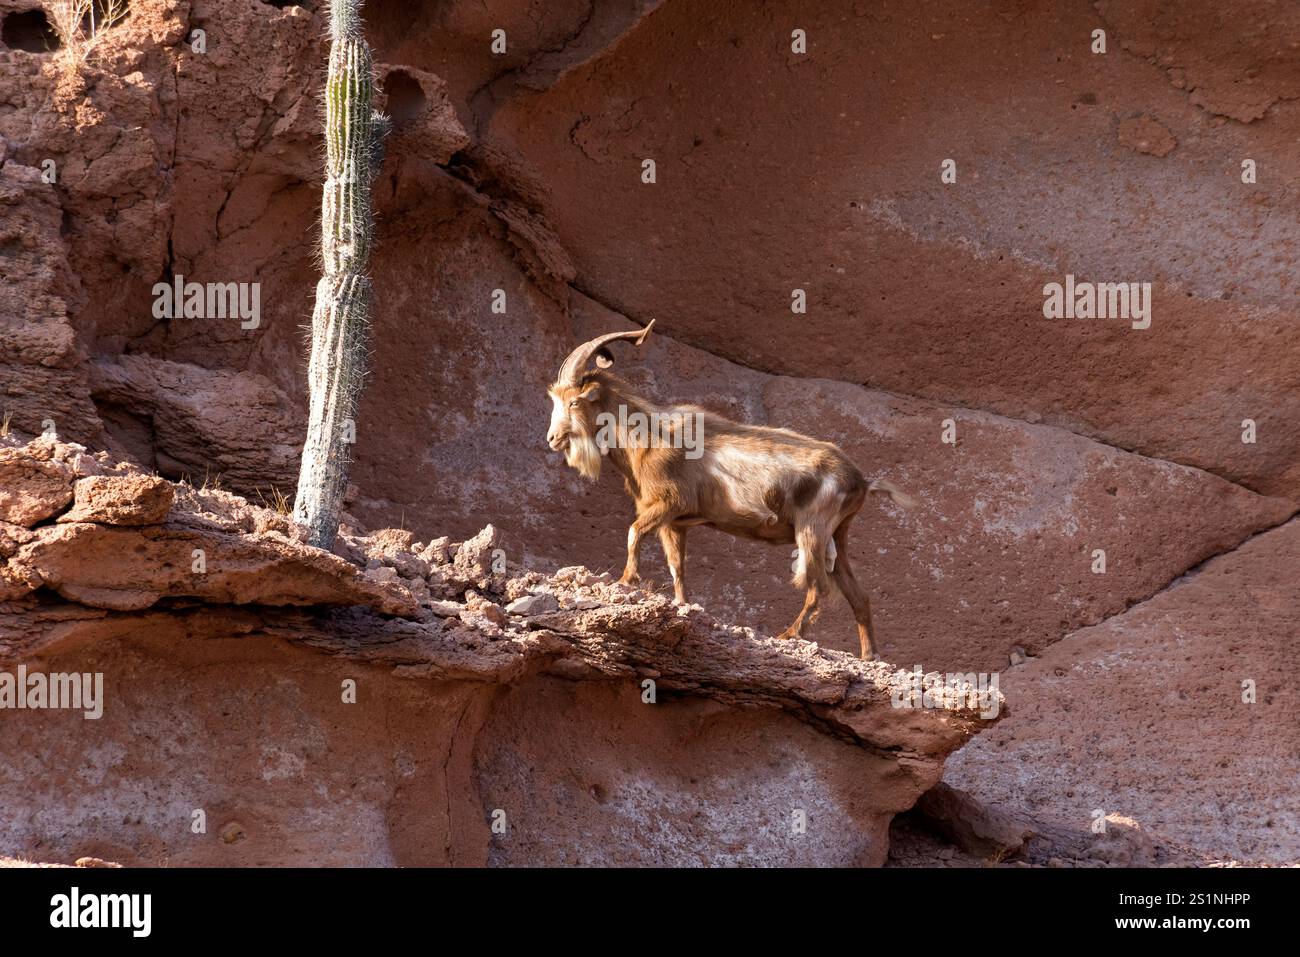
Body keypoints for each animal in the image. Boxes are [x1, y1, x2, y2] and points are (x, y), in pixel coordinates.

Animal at [546, 322, 913, 660]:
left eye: (574, 402)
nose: (552, 439)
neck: (646, 435)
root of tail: (861, 481)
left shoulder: (667, 503)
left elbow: (634, 532)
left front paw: (625, 580)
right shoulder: (675, 522)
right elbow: (677, 567)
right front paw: (682, 605)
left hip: (812, 528)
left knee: (818, 587)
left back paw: (789, 634)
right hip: (838, 534)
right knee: (857, 594)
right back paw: (869, 655)